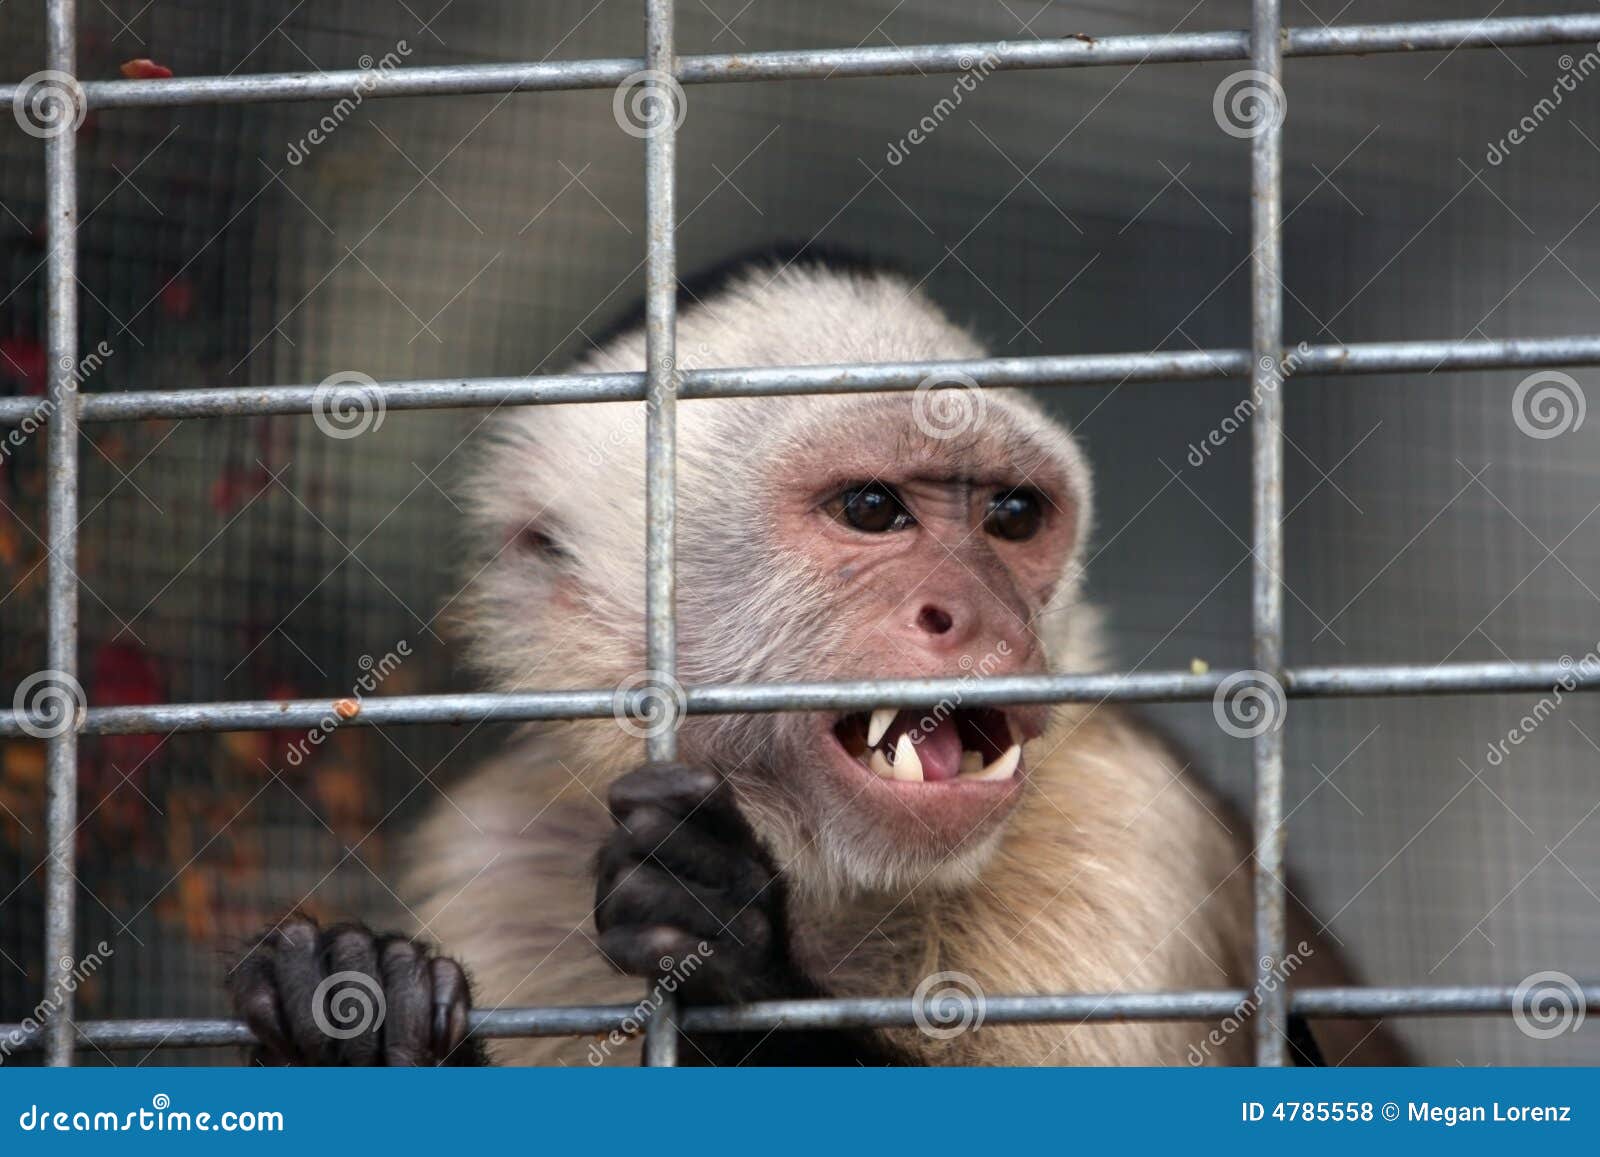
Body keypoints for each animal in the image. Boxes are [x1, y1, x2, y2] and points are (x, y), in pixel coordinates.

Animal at [229, 256, 1398, 1067]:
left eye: (1014, 516)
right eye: (872, 508)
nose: (980, 613)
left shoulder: (1127, 843)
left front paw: (726, 950)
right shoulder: (499, 865)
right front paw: (356, 1012)